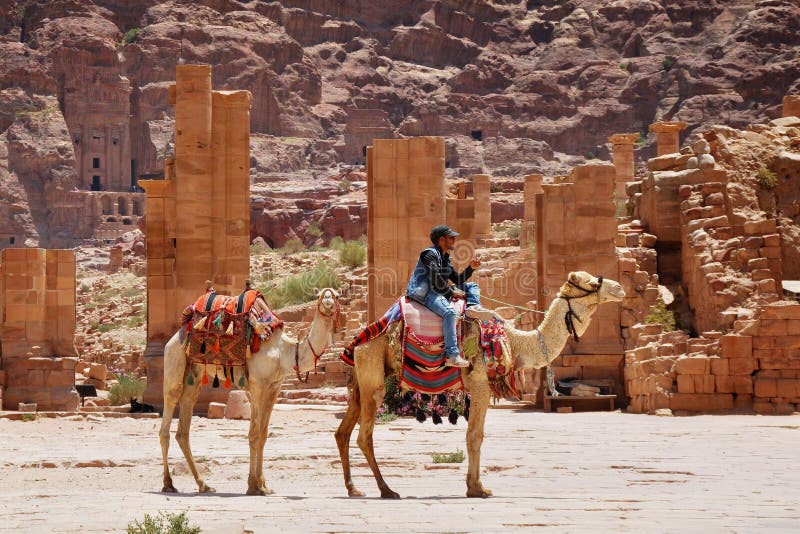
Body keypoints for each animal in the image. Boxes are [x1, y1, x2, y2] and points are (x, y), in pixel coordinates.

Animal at [159, 287, 342, 495]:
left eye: (337, 295)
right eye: (319, 295)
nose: (327, 302)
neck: (283, 352)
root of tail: (177, 334)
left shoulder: (273, 388)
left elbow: (263, 435)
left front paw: (263, 485)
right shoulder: (257, 385)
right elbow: (253, 434)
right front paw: (253, 486)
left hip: (193, 377)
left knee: (183, 428)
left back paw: (203, 484)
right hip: (174, 361)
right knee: (167, 418)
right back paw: (168, 483)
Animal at [335, 271, 625, 498]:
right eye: (591, 283)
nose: (619, 288)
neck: (515, 342)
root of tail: (357, 340)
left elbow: (476, 435)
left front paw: (474, 486)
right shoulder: (481, 385)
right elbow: (475, 435)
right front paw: (478, 488)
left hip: (361, 381)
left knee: (342, 432)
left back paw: (353, 488)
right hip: (373, 377)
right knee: (364, 434)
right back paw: (386, 490)